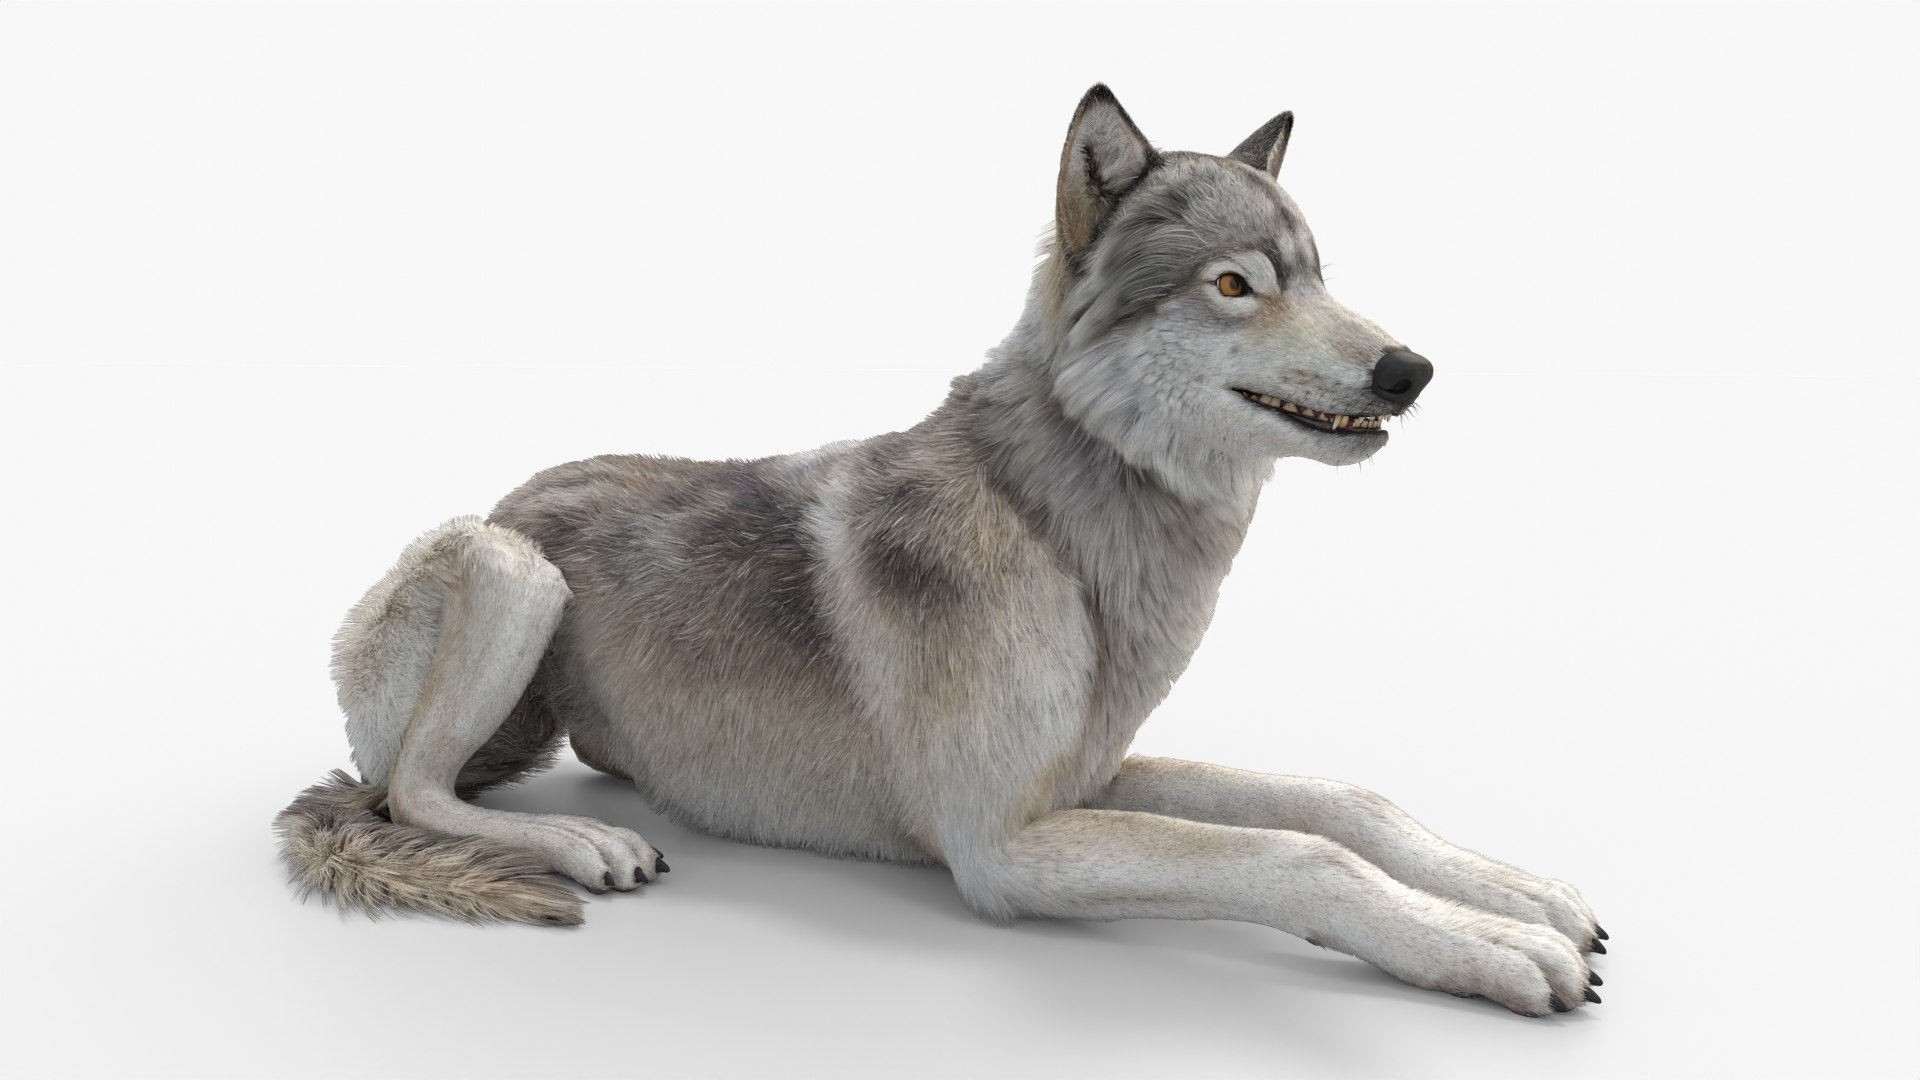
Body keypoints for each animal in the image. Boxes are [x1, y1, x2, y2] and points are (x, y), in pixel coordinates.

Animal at [276, 85, 1604, 1016]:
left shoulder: (1081, 778)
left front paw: (1524, 896)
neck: (1060, 528)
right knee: (413, 789)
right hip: (514, 573)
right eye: (1237, 285)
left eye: (1323, 277)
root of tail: (525, 482)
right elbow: (1298, 855)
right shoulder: (1002, 846)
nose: (1410, 371)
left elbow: (1340, 802)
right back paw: (582, 843)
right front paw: (1498, 951)